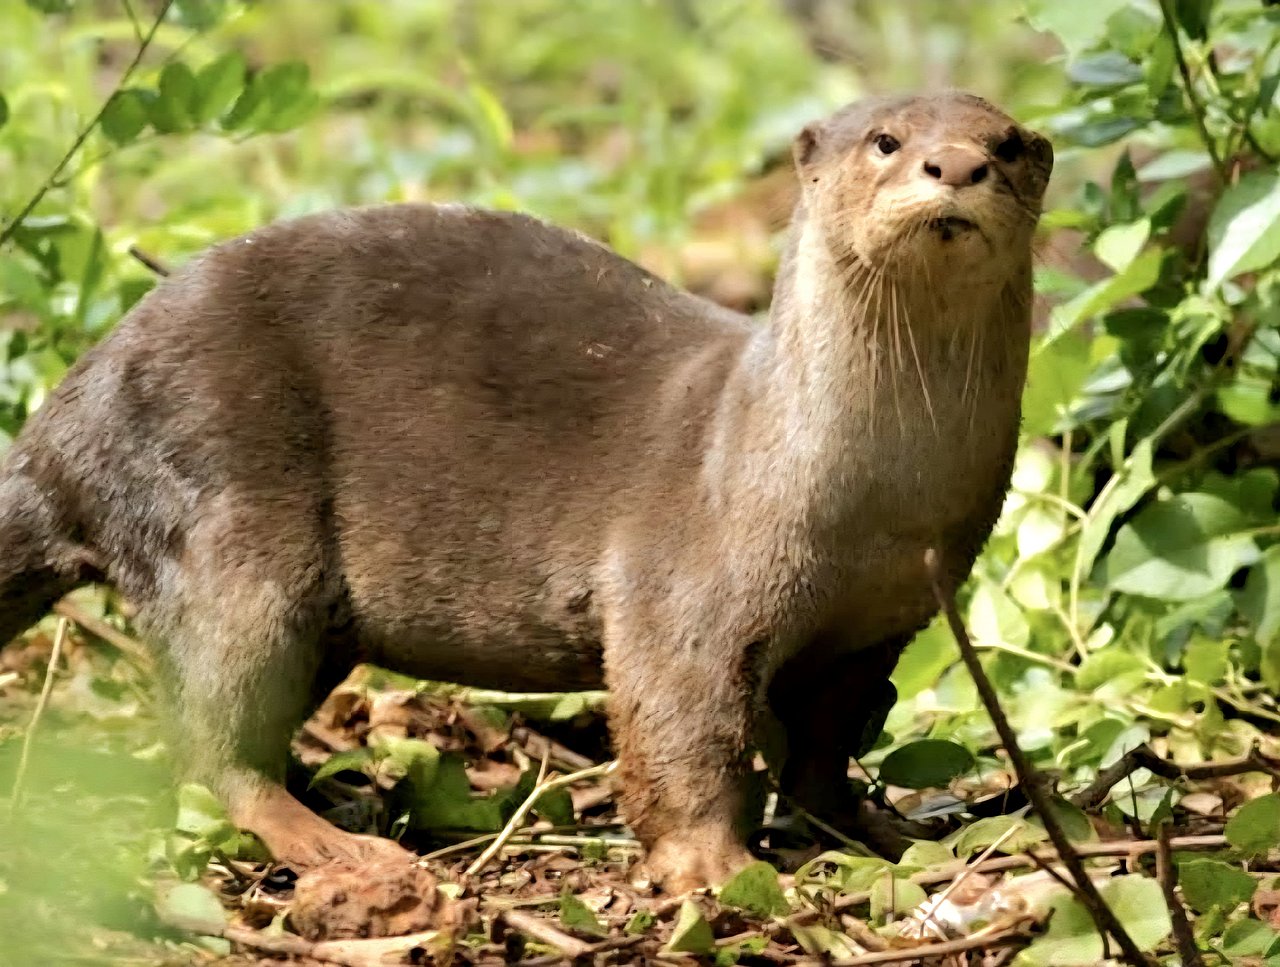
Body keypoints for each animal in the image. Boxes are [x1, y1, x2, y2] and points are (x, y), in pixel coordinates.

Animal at [0, 92, 1051, 892]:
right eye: (887, 140)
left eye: (1005, 142)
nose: (956, 166)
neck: (873, 501)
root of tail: (67, 414)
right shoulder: (685, 593)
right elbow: (684, 725)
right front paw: (711, 867)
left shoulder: (885, 617)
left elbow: (832, 742)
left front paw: (888, 832)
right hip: (223, 513)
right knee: (207, 730)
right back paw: (340, 845)